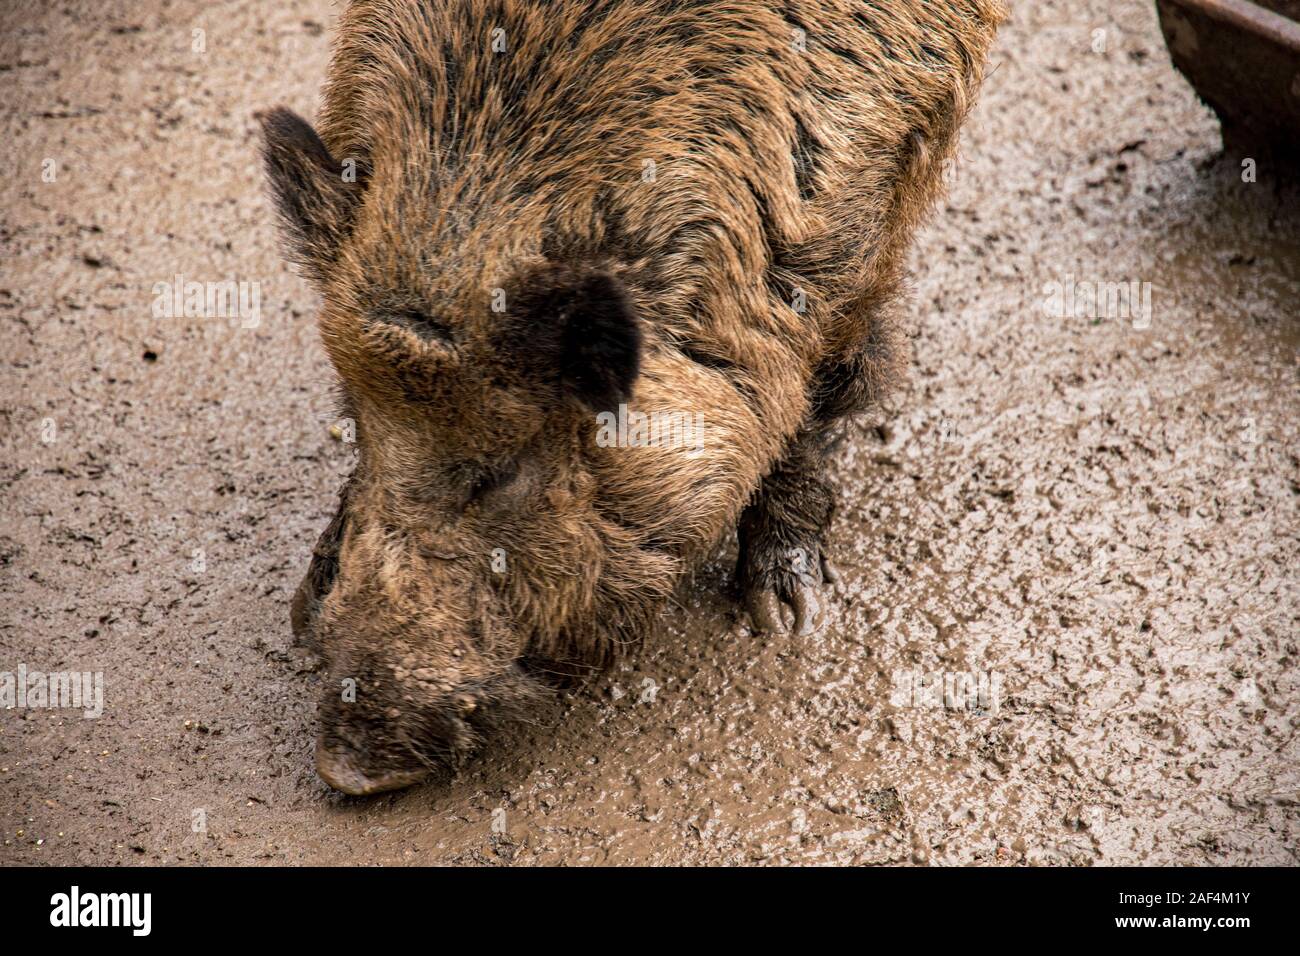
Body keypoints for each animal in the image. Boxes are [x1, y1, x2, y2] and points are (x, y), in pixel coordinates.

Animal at [261, 0, 1005, 794]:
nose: (342, 768)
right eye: (359, 428)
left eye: (501, 471)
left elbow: (818, 403)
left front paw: (788, 620)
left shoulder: (861, 217)